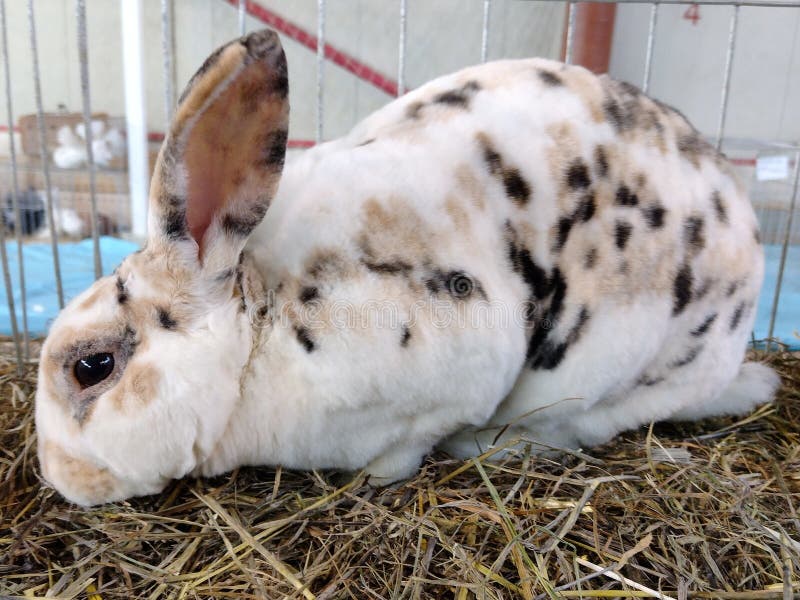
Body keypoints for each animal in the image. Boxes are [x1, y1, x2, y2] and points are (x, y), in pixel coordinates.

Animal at [35, 29, 780, 507]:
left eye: (92, 366)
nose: (58, 475)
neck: (260, 324)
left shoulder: (450, 375)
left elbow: (401, 453)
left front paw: (378, 476)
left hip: (600, 383)